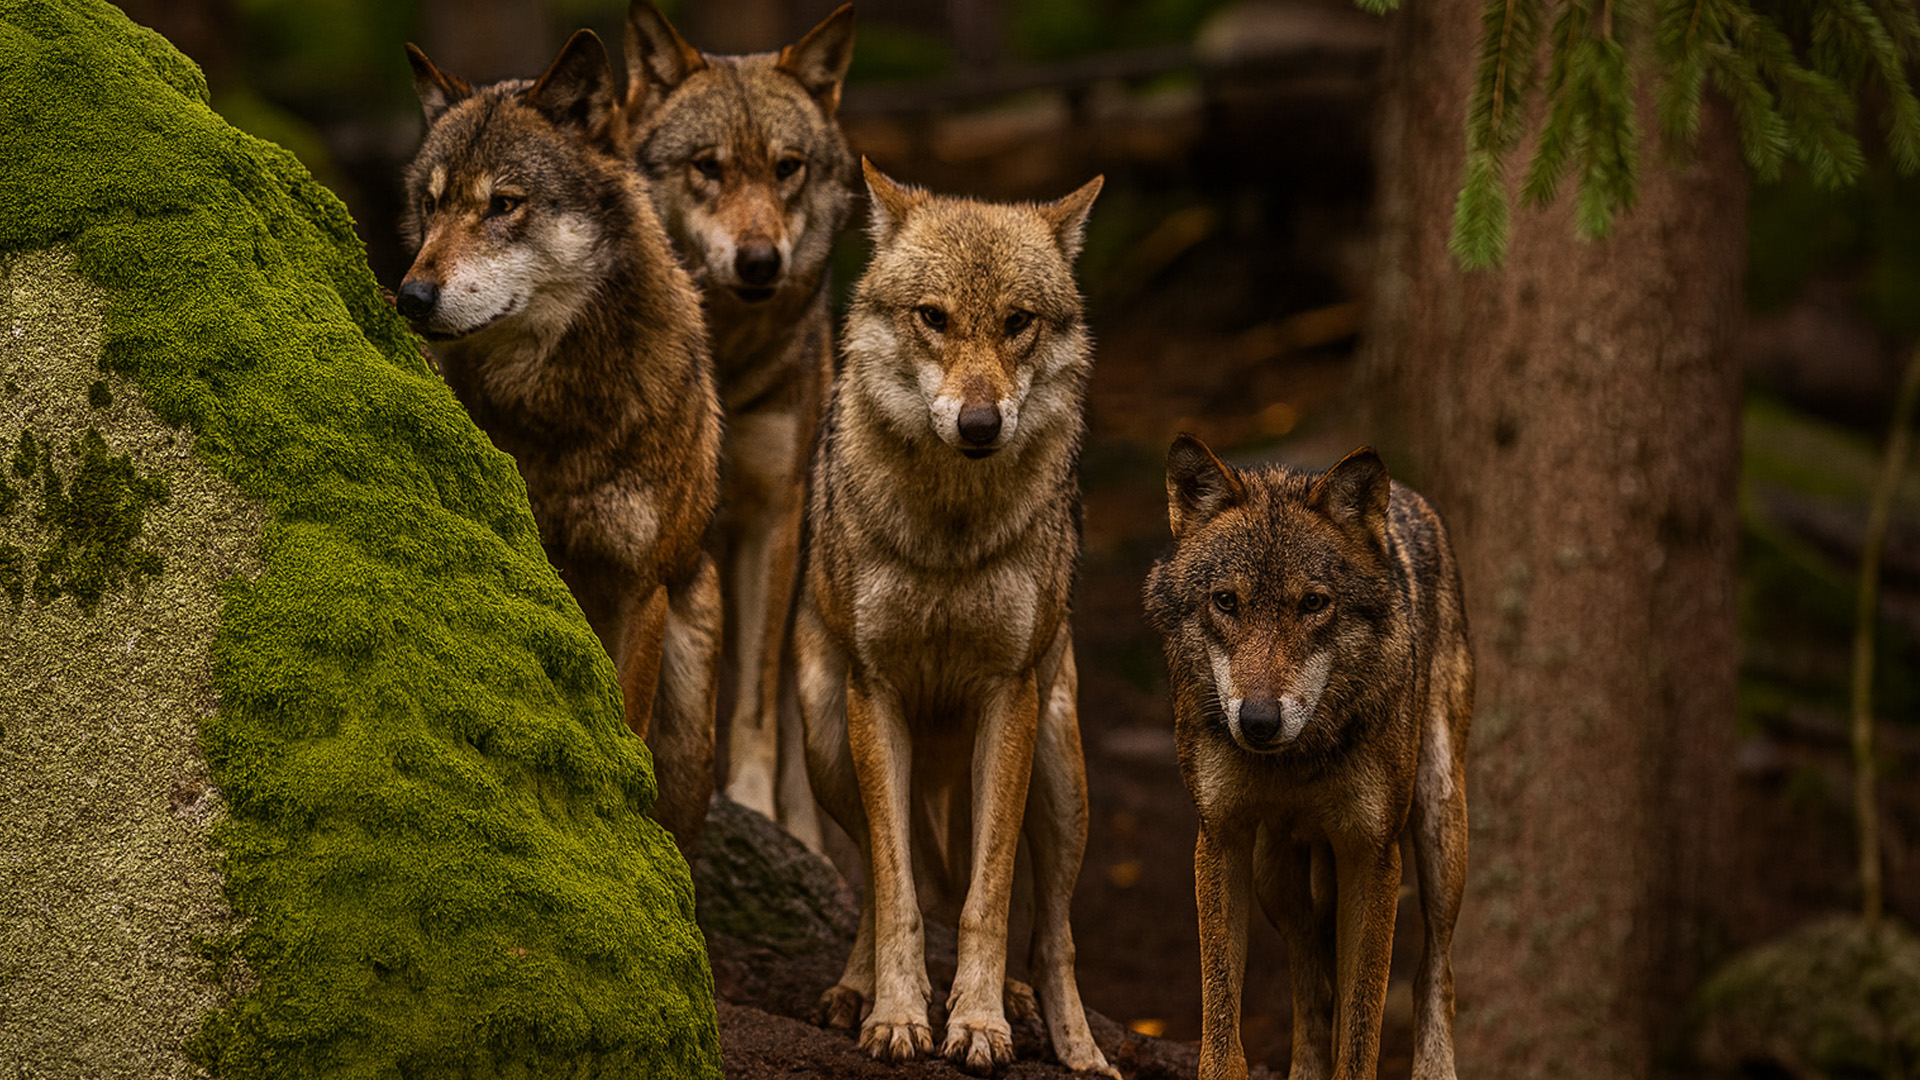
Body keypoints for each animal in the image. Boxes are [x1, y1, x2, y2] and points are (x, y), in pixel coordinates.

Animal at [396, 30, 723, 851]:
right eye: (431, 204)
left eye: (503, 205)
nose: (410, 296)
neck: (553, 410)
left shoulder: (639, 586)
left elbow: (628, 724)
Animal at [622, 1, 857, 847]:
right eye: (708, 167)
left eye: (787, 167)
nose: (761, 261)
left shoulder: (769, 518)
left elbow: (754, 703)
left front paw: (755, 809)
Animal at [791, 160, 1117, 1077]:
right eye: (933, 318)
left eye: (1017, 323)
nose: (978, 423)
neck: (949, 530)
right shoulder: (876, 693)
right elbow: (898, 887)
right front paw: (898, 1015)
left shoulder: (1008, 696)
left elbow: (990, 897)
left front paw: (975, 1022)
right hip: (828, 742)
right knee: (883, 875)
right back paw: (854, 991)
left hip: (1059, 770)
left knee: (1050, 934)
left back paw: (1071, 1043)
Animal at [1143, 436, 1473, 1080]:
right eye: (1226, 602)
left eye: (1313, 603)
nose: (1258, 721)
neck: (1297, 758)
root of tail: (1412, 498)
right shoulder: (1221, 838)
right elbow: (1222, 1012)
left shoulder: (1372, 853)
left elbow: (1364, 1027)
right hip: (1275, 872)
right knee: (1310, 976)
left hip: (1440, 827)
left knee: (1435, 969)